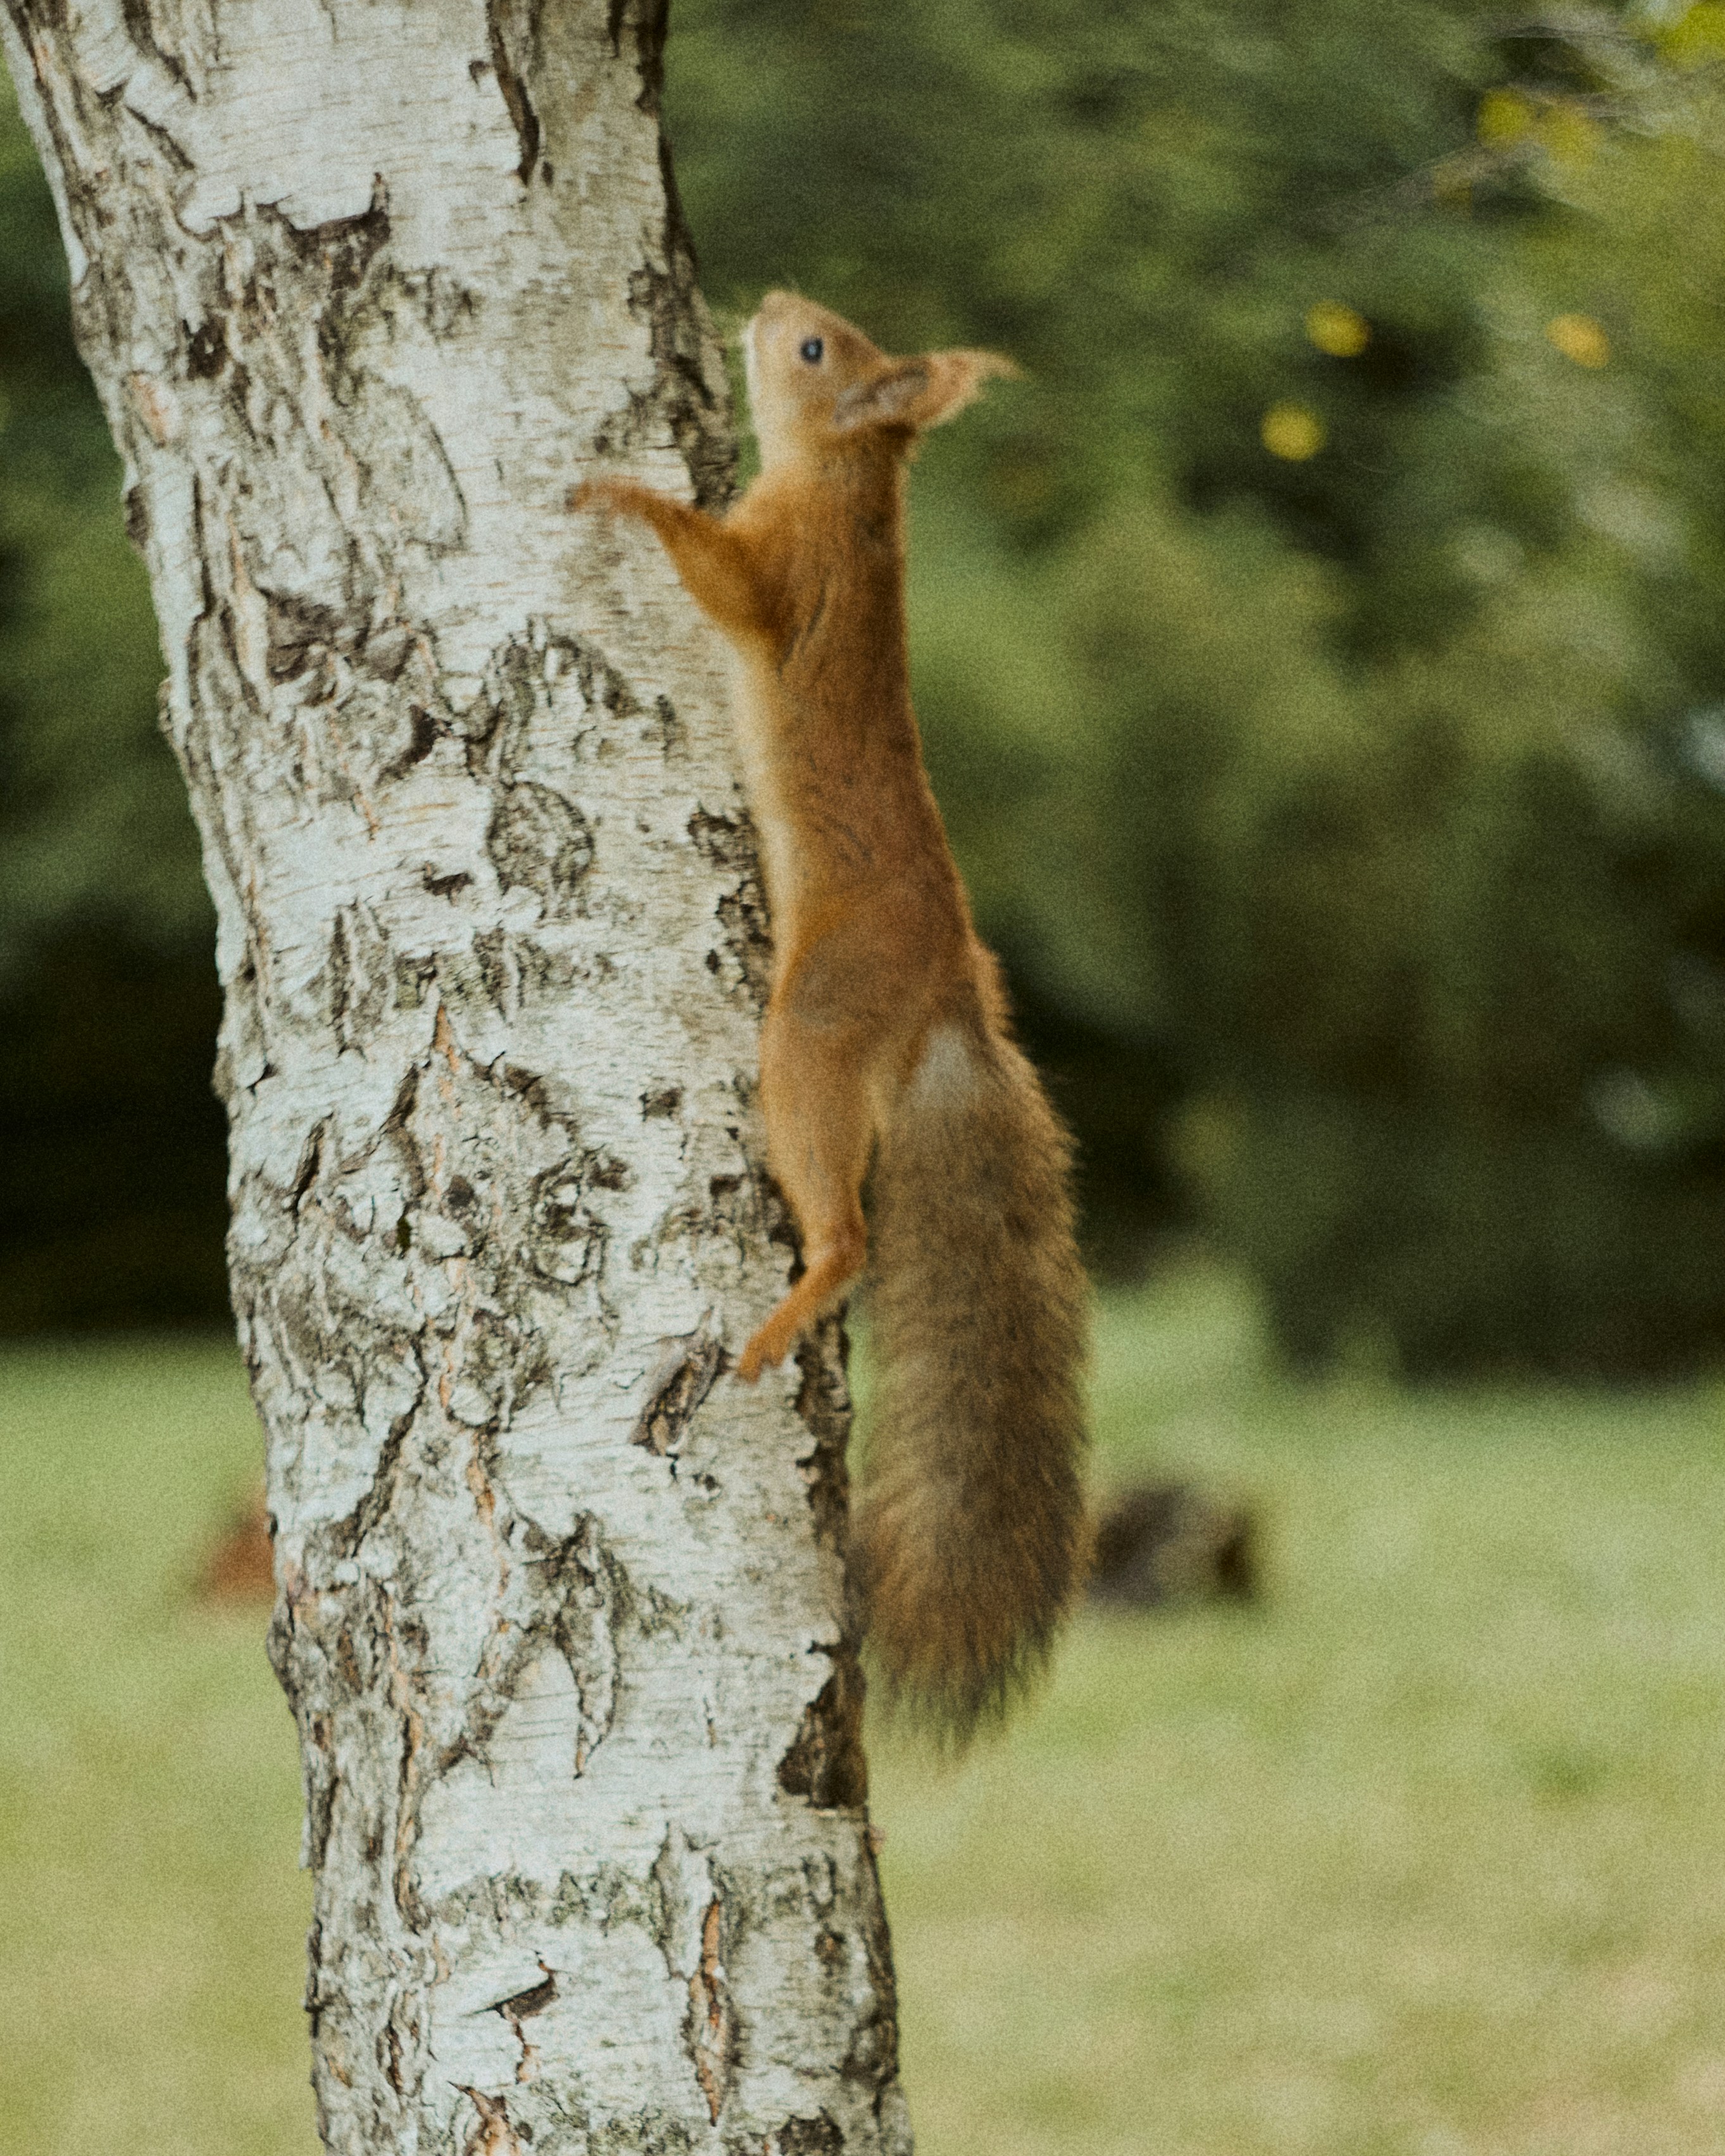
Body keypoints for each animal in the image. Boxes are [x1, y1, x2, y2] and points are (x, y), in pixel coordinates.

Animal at [572, 292, 1088, 1740]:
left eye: (816, 353)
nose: (764, 308)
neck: (850, 486)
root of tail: (951, 994)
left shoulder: (781, 573)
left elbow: (720, 577)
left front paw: (621, 492)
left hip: (807, 1033)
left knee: (847, 1227)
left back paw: (778, 1318)